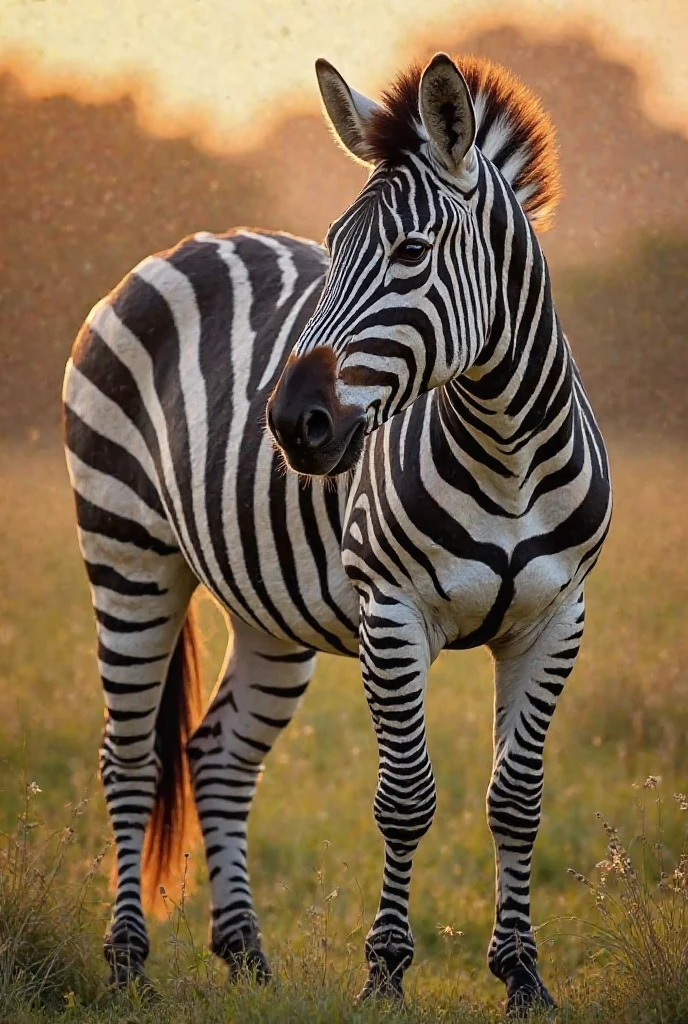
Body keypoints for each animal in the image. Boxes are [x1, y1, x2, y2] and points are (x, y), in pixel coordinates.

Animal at [62, 52, 612, 1012]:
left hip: (269, 610)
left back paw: (247, 957)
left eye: (410, 253)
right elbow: (406, 799)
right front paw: (385, 975)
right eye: (335, 244)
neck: (507, 449)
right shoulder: (390, 615)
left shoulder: (556, 619)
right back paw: (128, 960)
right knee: (128, 759)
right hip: (127, 553)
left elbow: (517, 799)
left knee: (216, 756)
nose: (289, 423)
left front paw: (523, 978)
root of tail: (183, 247)